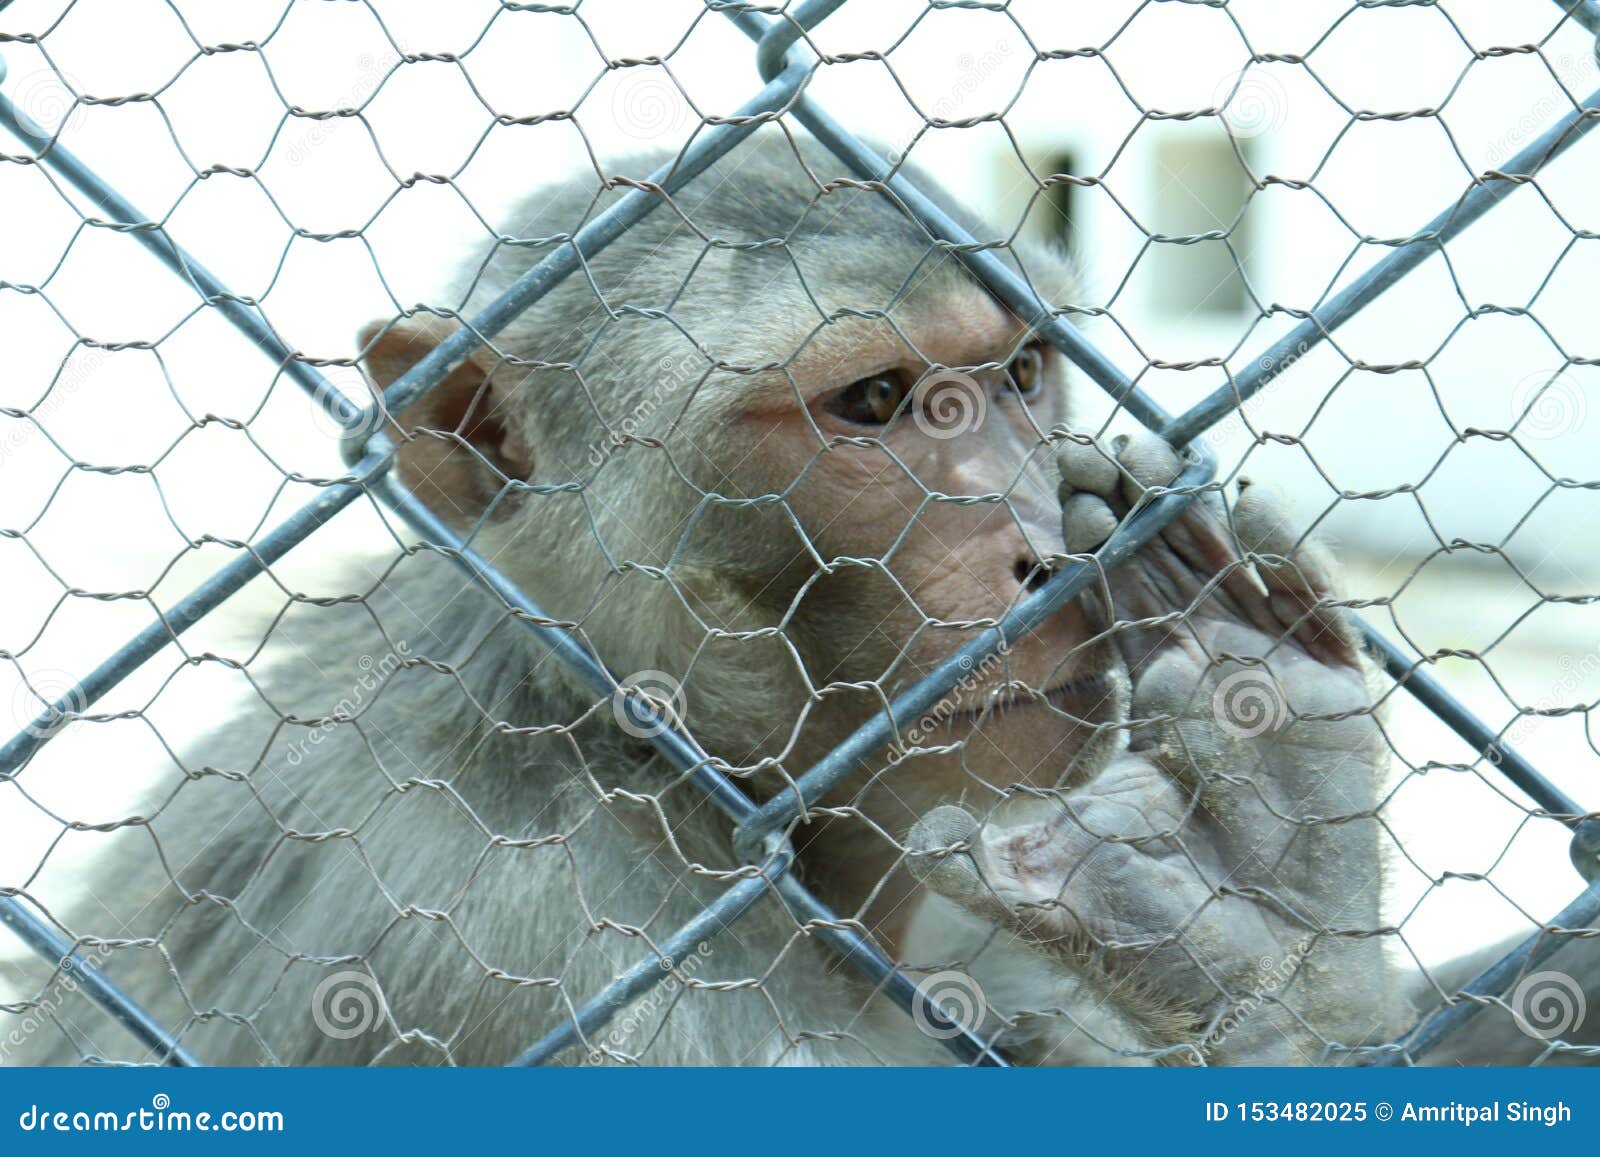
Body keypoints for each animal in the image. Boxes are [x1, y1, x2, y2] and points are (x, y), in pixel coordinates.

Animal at [1, 133, 1517, 1066]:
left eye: (1019, 374)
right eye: (875, 404)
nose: (1038, 549)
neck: (634, 738)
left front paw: (1282, 898)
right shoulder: (552, 932)